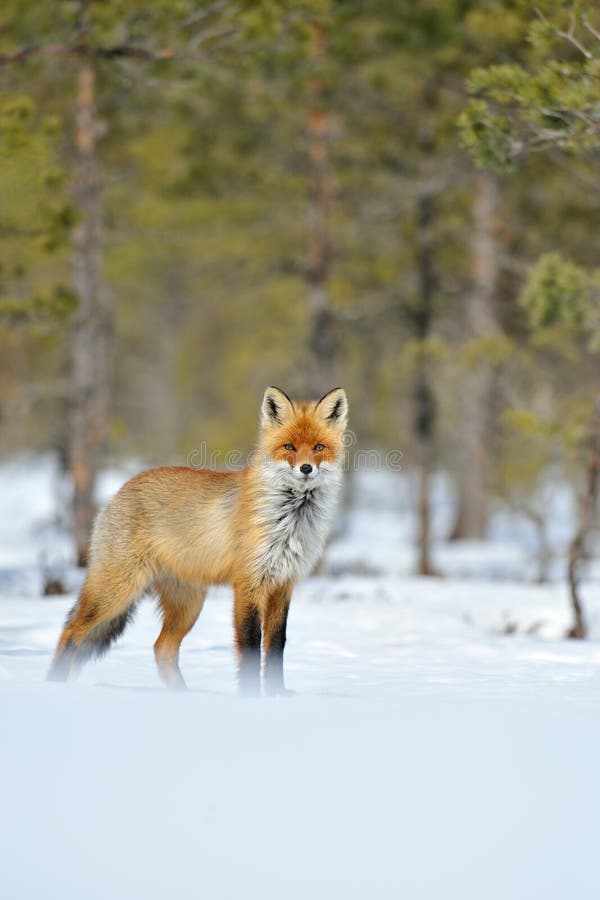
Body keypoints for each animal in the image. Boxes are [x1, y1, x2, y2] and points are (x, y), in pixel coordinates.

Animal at [48, 386, 348, 695]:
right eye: (289, 447)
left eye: (319, 448)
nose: (306, 468)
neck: (290, 520)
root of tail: (120, 490)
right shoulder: (249, 585)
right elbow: (251, 646)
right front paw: (251, 695)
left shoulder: (282, 586)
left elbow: (276, 647)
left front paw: (277, 695)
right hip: (116, 591)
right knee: (71, 631)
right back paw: (53, 685)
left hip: (188, 606)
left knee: (162, 648)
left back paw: (184, 695)